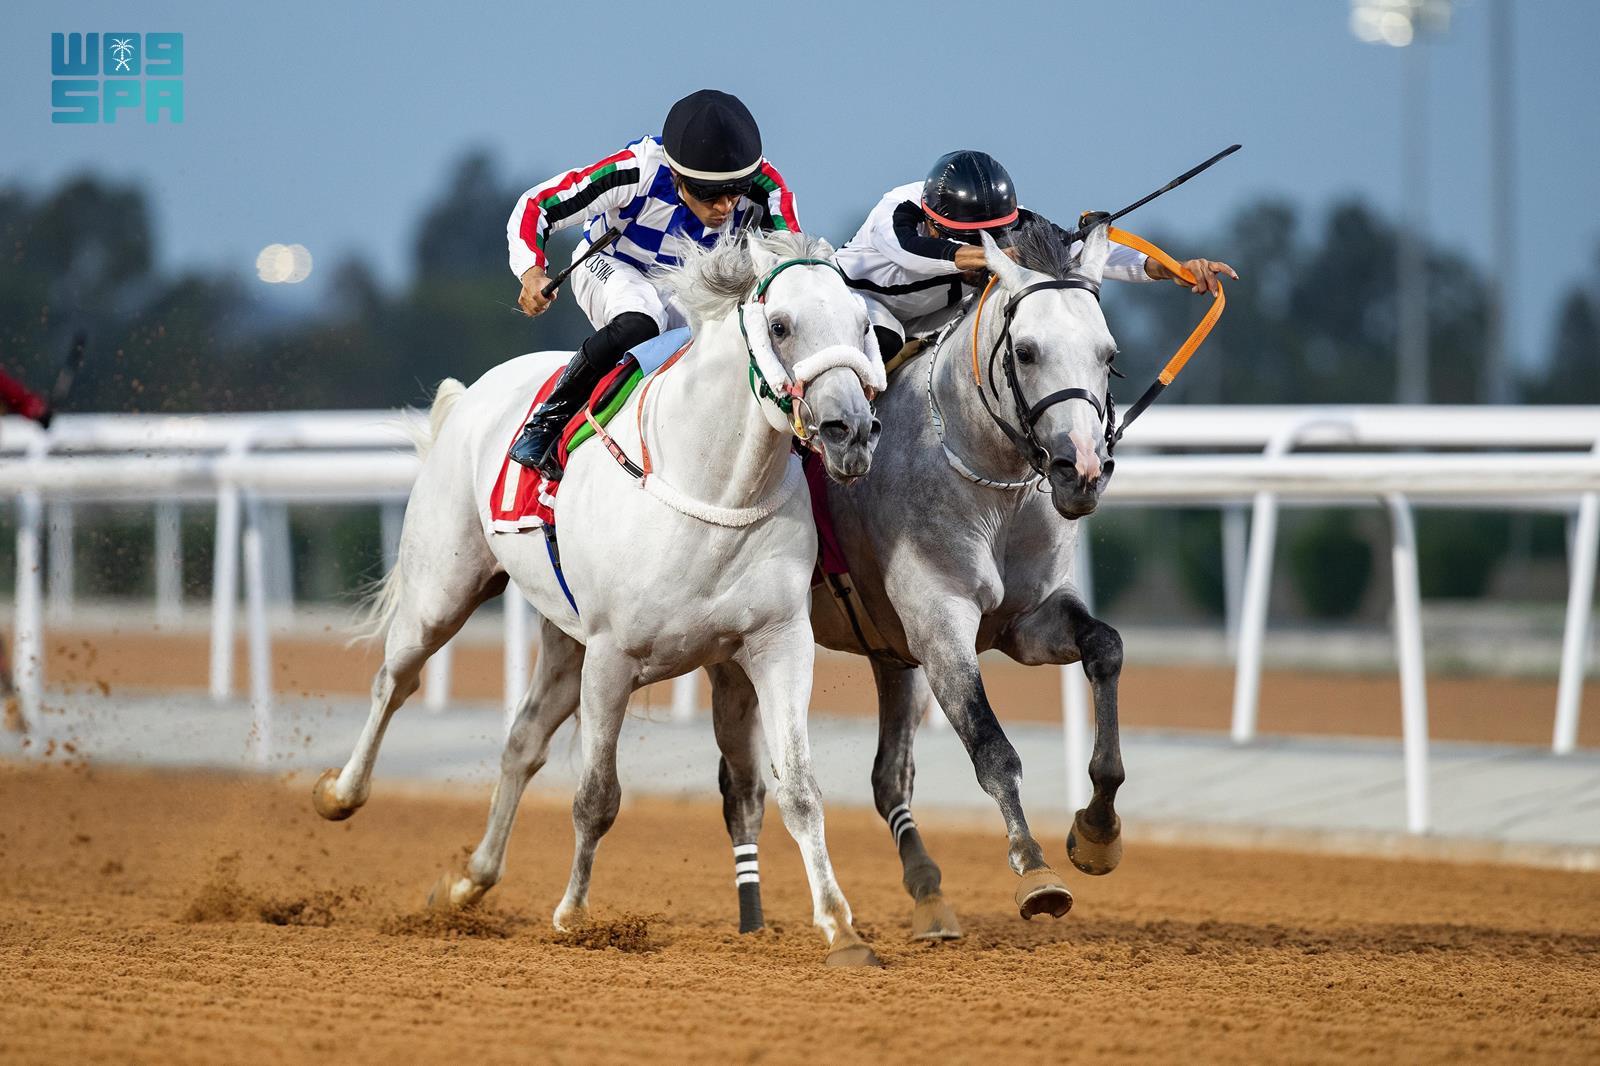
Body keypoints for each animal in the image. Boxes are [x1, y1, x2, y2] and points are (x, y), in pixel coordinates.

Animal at [310, 230, 888, 967]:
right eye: (782, 325)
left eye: (863, 323)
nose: (851, 431)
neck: (711, 485)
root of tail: (469, 398)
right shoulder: (613, 656)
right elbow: (597, 796)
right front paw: (574, 916)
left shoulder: (776, 645)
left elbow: (801, 790)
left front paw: (843, 929)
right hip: (442, 589)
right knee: (394, 680)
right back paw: (339, 794)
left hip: (565, 638)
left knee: (522, 738)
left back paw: (471, 879)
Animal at [709, 220, 1128, 940]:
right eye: (1026, 351)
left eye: (1107, 355)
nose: (1082, 471)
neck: (989, 486)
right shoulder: (940, 624)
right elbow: (991, 746)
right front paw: (1035, 870)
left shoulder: (1026, 619)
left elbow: (1105, 647)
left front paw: (1097, 831)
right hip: (737, 652)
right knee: (742, 787)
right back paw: (753, 915)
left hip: (888, 654)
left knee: (889, 776)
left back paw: (928, 894)